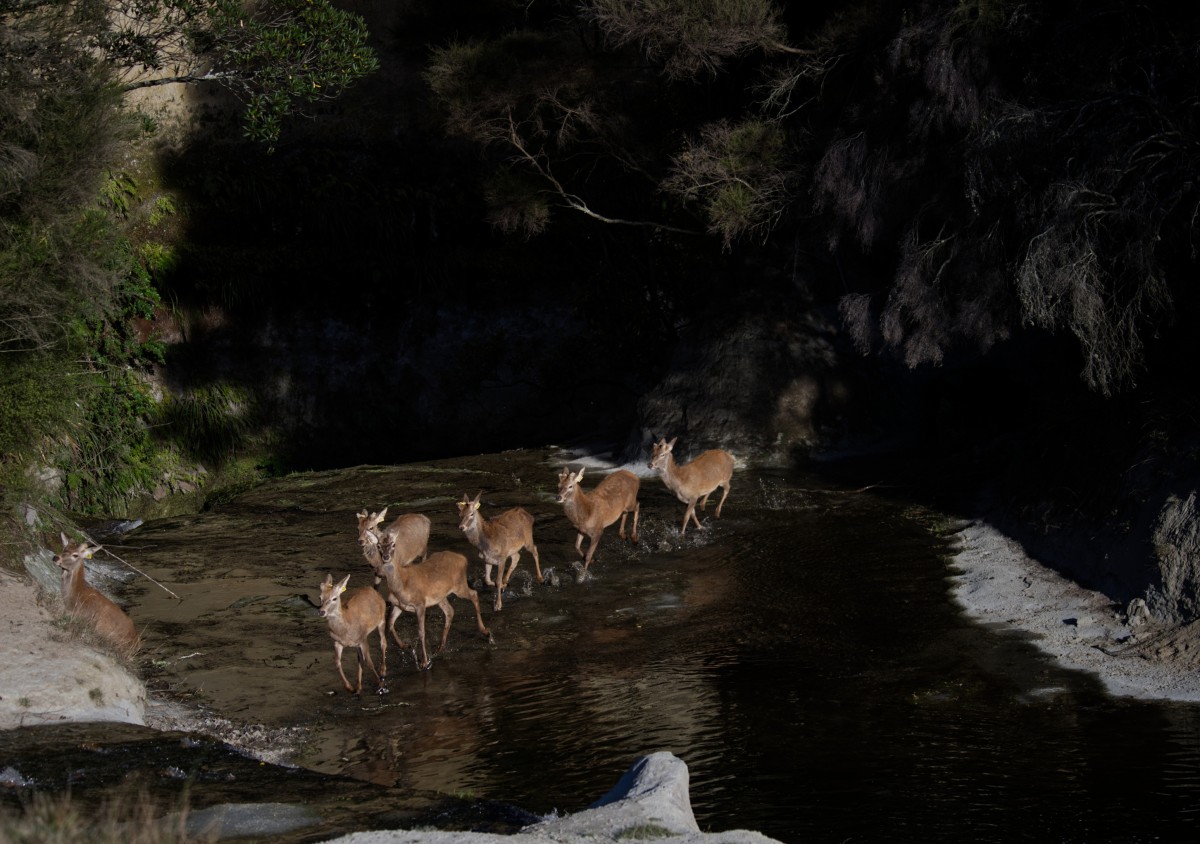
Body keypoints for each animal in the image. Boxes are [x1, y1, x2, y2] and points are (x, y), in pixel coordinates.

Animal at [377, 532, 492, 670]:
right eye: (378, 545)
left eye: (393, 544)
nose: (386, 557)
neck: (401, 586)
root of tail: (463, 558)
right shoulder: (398, 605)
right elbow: (390, 624)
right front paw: (406, 646)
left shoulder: (420, 603)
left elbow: (421, 632)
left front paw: (424, 662)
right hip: (440, 596)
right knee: (450, 611)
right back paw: (440, 647)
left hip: (459, 585)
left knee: (474, 594)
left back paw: (486, 632)